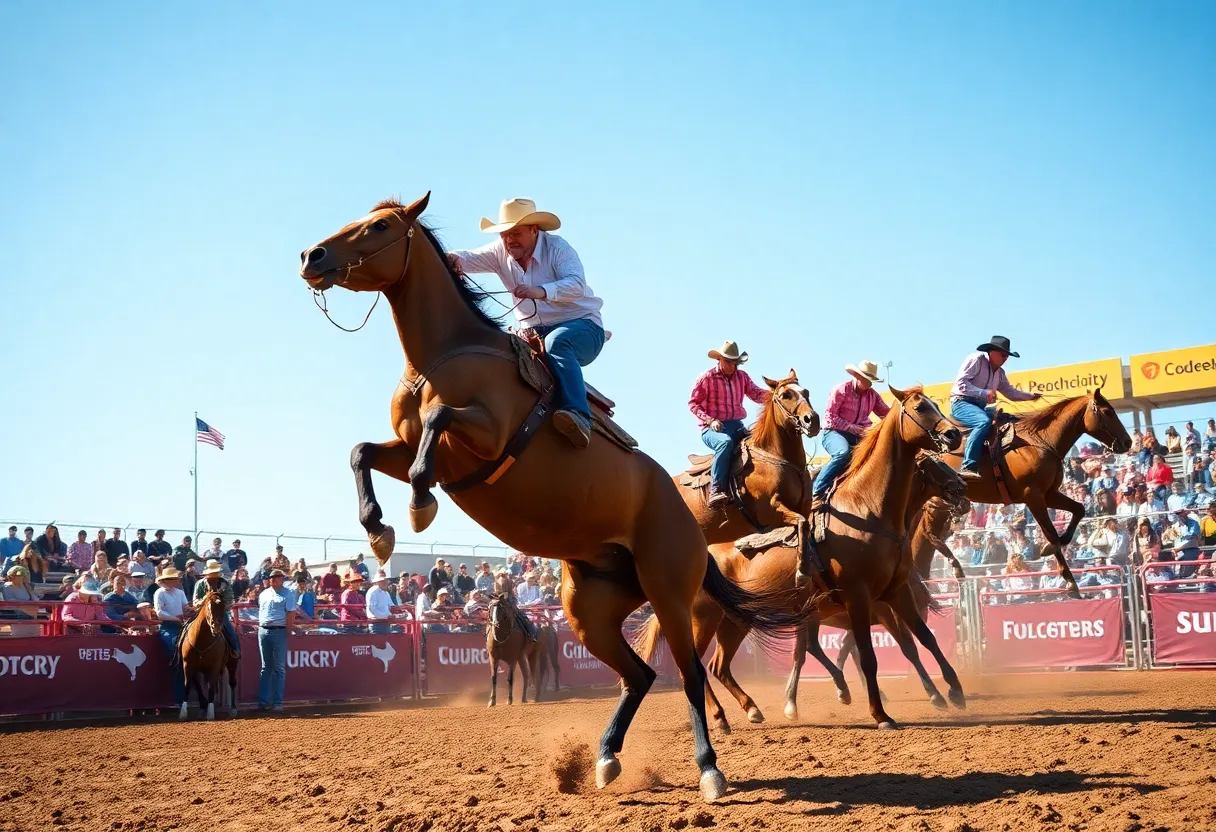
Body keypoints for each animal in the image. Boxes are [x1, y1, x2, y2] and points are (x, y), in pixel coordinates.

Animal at [179, 591, 239, 720]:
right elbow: (188, 685)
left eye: (223, 606)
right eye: (209, 606)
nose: (216, 626)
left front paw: (210, 713)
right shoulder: (187, 665)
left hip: (232, 664)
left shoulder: (214, 666)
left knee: (232, 683)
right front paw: (183, 712)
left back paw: (233, 709)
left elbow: (211, 688)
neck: (201, 641)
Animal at [632, 389, 963, 729]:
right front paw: (882, 714)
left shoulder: (896, 592)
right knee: (696, 665)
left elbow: (925, 639)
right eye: (920, 407)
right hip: (705, 617)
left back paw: (751, 709)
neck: (866, 510)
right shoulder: (861, 598)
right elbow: (872, 655)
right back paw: (722, 717)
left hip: (737, 620)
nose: (953, 434)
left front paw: (954, 691)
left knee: (718, 665)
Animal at [680, 369, 822, 552]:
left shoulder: (803, 508)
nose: (812, 420)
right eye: (785, 395)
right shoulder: (772, 510)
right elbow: (802, 524)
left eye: (806, 392)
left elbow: (804, 530)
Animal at [938, 386, 1128, 593]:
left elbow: (1078, 509)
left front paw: (1054, 546)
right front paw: (1069, 579)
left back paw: (956, 570)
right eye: (1107, 412)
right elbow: (1051, 533)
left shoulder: (1049, 494)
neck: (1038, 442)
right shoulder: (1033, 496)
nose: (1128, 442)